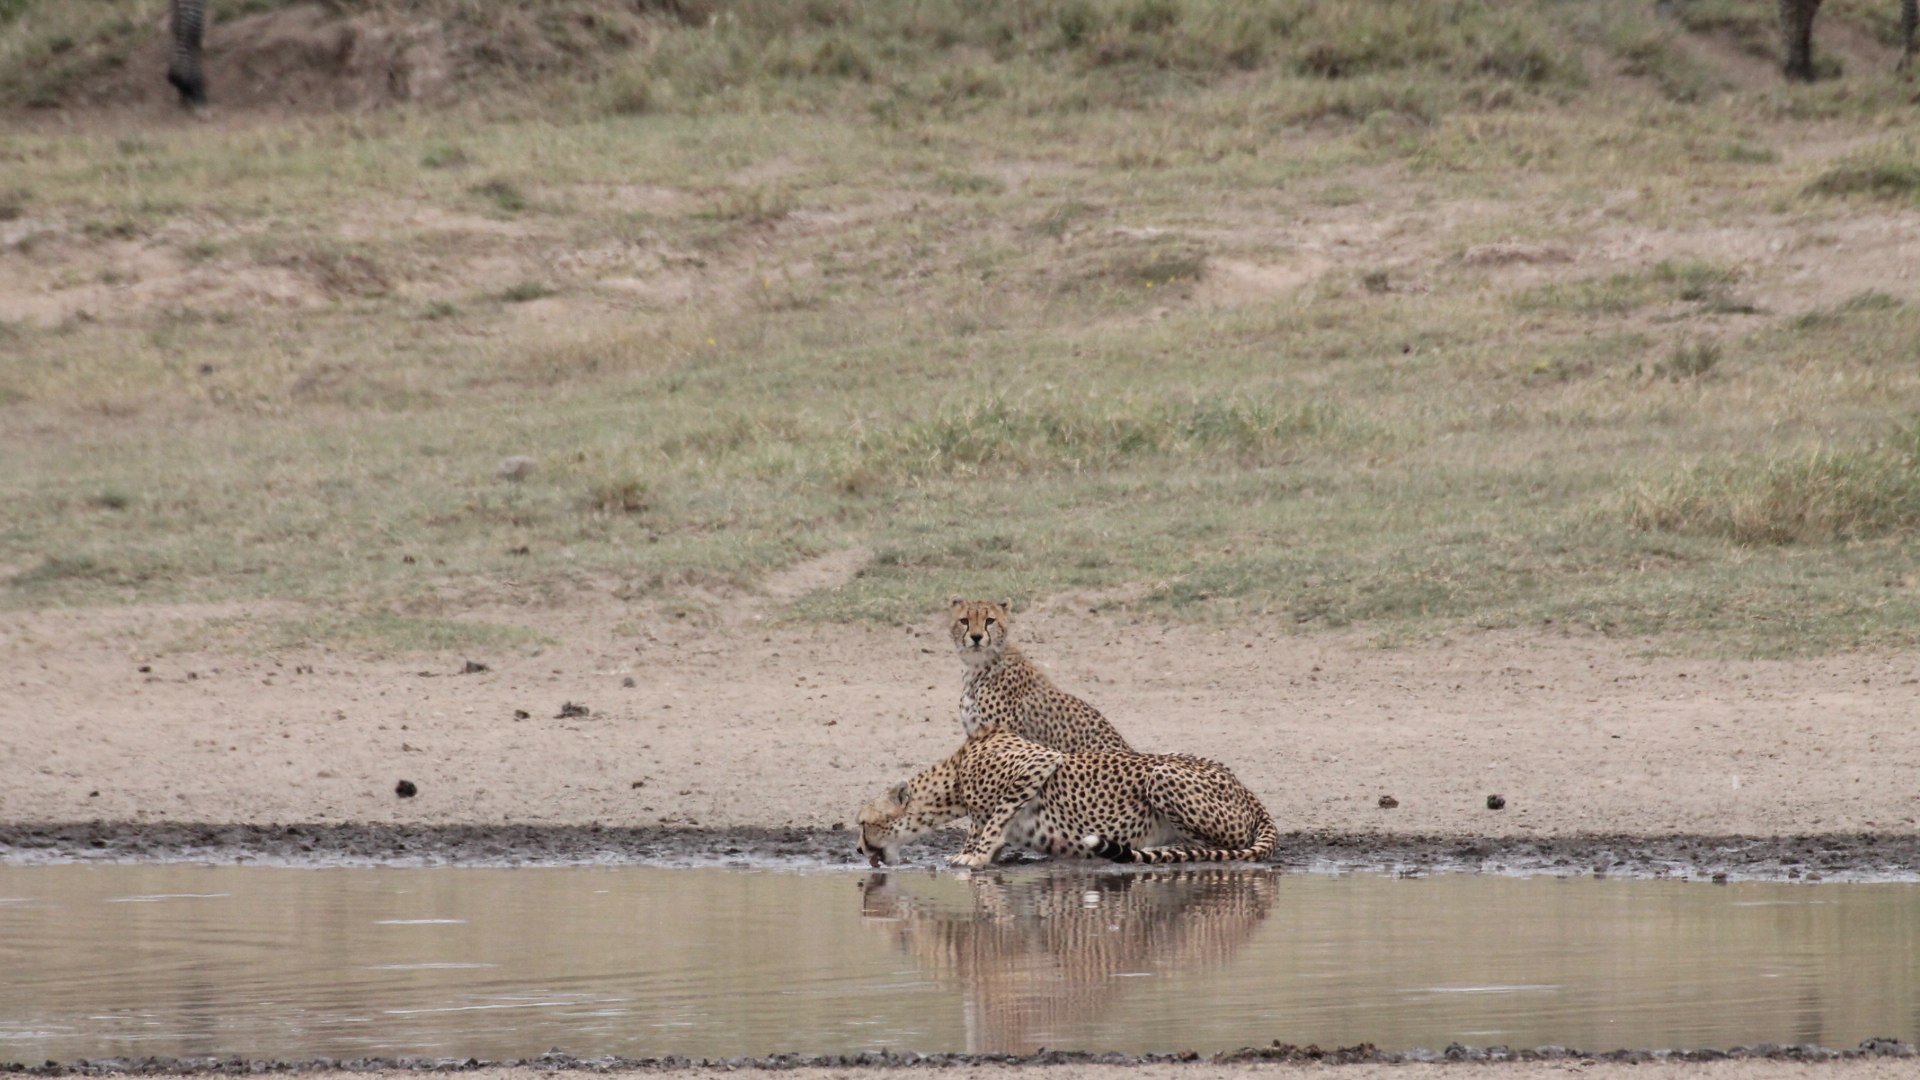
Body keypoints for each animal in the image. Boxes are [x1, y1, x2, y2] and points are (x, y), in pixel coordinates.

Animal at [856, 725, 1277, 868]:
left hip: (1161, 775)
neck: (954, 780)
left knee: (1221, 845)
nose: (859, 850)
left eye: (863, 823)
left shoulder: (1038, 762)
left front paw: (972, 855)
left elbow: (992, 821)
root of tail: (1245, 788)